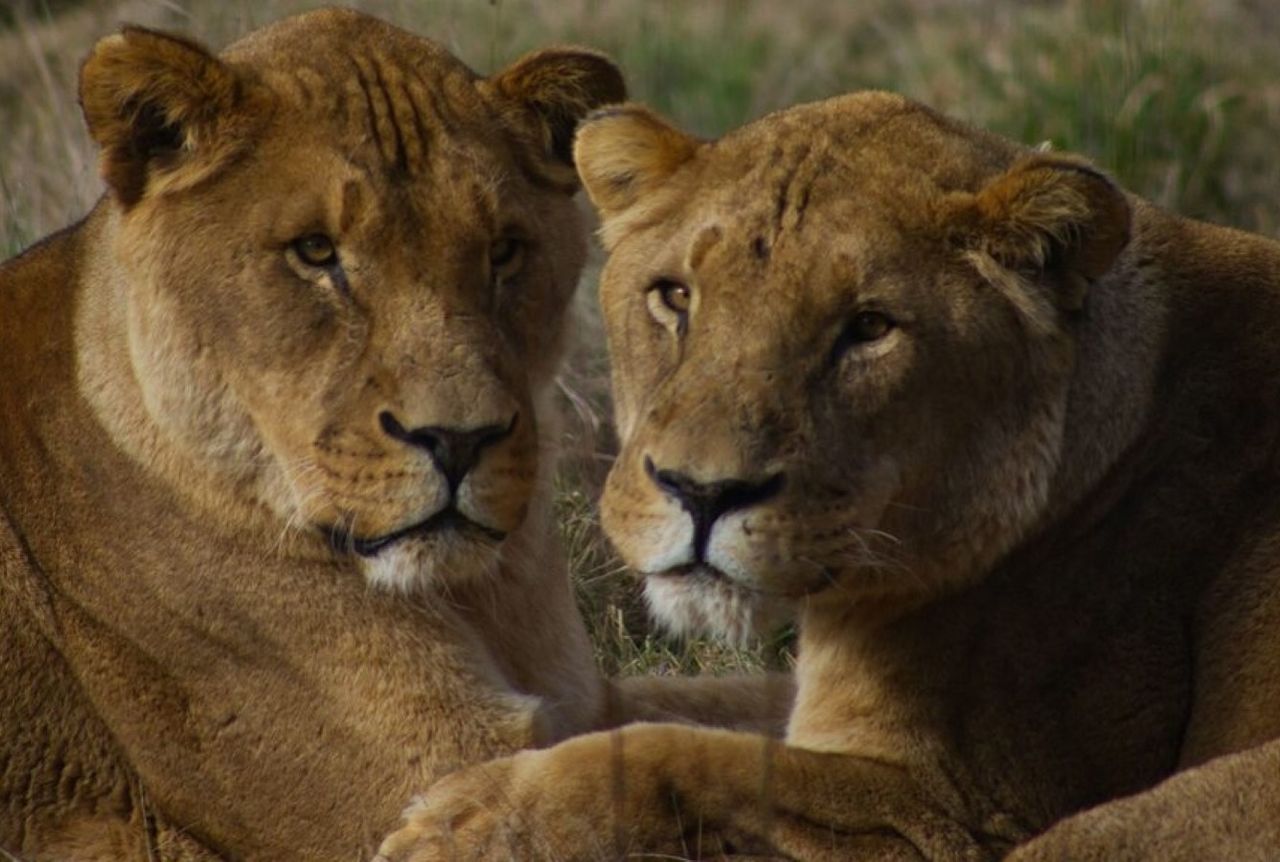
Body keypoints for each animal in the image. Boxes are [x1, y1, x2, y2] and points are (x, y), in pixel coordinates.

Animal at [0, 11, 790, 861]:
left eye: (504, 251)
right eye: (315, 251)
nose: (458, 440)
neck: (478, 596)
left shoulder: (586, 700)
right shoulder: (406, 785)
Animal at [376, 92, 1280, 861]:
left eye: (869, 329)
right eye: (675, 296)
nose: (702, 493)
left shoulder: (953, 816)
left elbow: (685, 756)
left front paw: (466, 819)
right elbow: (653, 706)